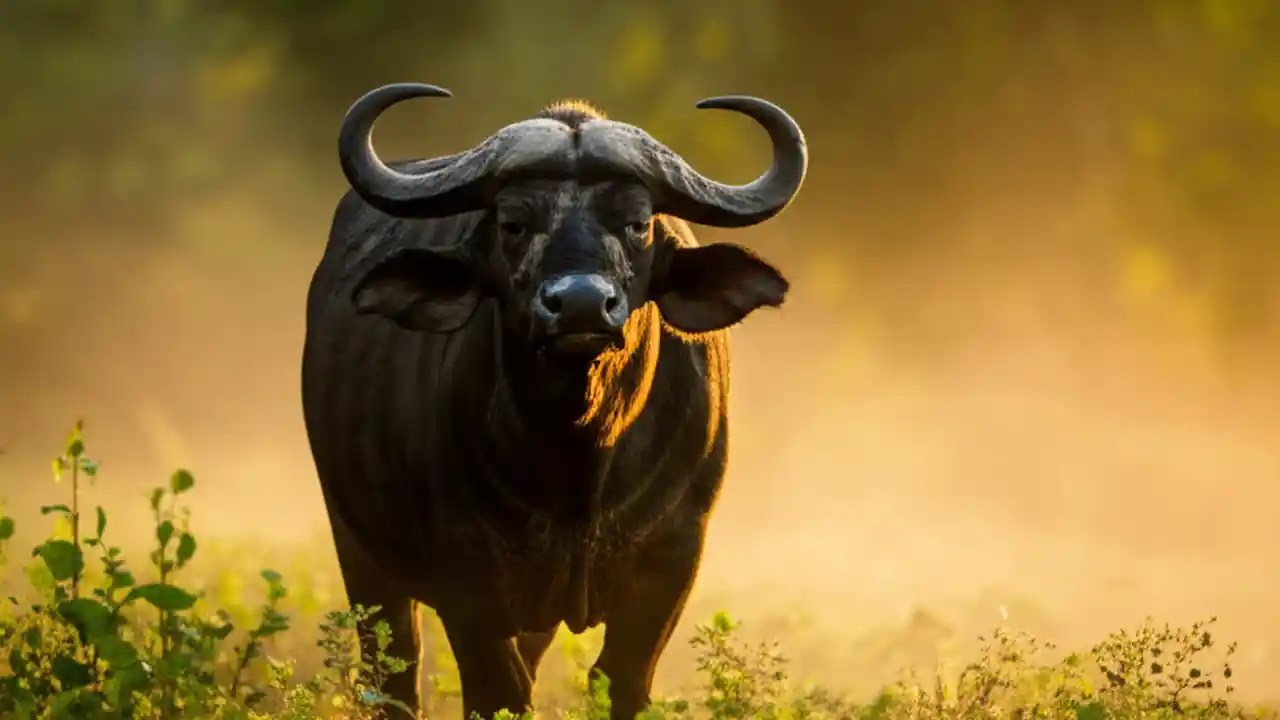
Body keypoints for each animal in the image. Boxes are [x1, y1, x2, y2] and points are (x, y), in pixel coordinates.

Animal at [301, 82, 807, 719]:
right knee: (392, 674)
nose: (582, 305)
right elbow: (499, 692)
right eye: (514, 223)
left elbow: (621, 680)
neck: (579, 458)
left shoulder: (671, 563)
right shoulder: (467, 580)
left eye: (638, 223)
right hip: (360, 554)